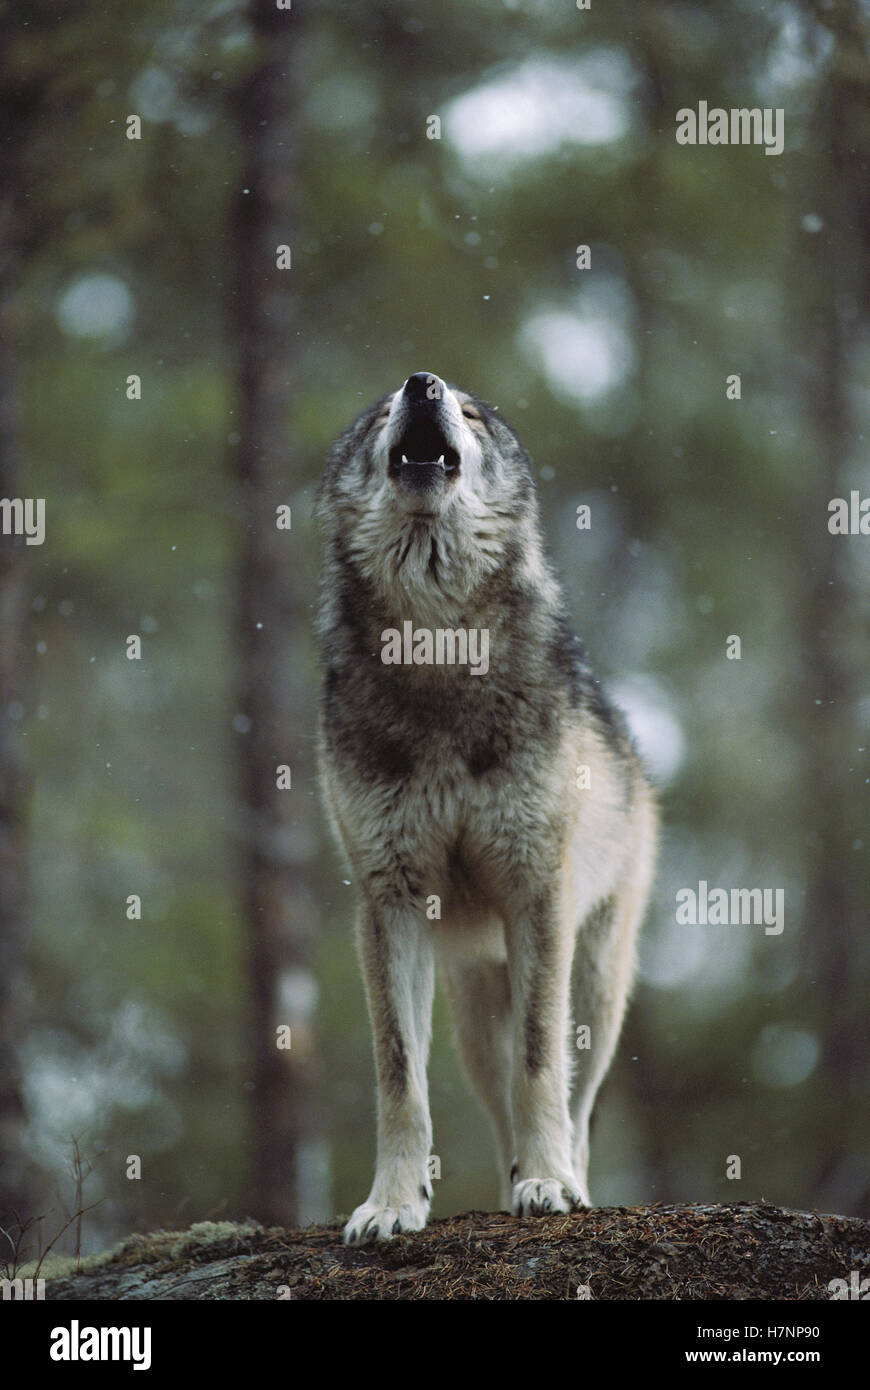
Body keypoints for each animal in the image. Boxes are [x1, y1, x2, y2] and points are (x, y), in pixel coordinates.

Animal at [316, 372, 657, 1244]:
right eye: (382, 411)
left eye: (471, 414)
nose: (422, 383)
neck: (437, 647)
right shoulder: (391, 901)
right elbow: (399, 1075)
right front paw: (392, 1205)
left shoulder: (536, 893)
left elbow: (540, 1064)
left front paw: (549, 1186)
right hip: (472, 1010)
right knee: (497, 1098)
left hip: (595, 986)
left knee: (573, 1102)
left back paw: (562, 1179)